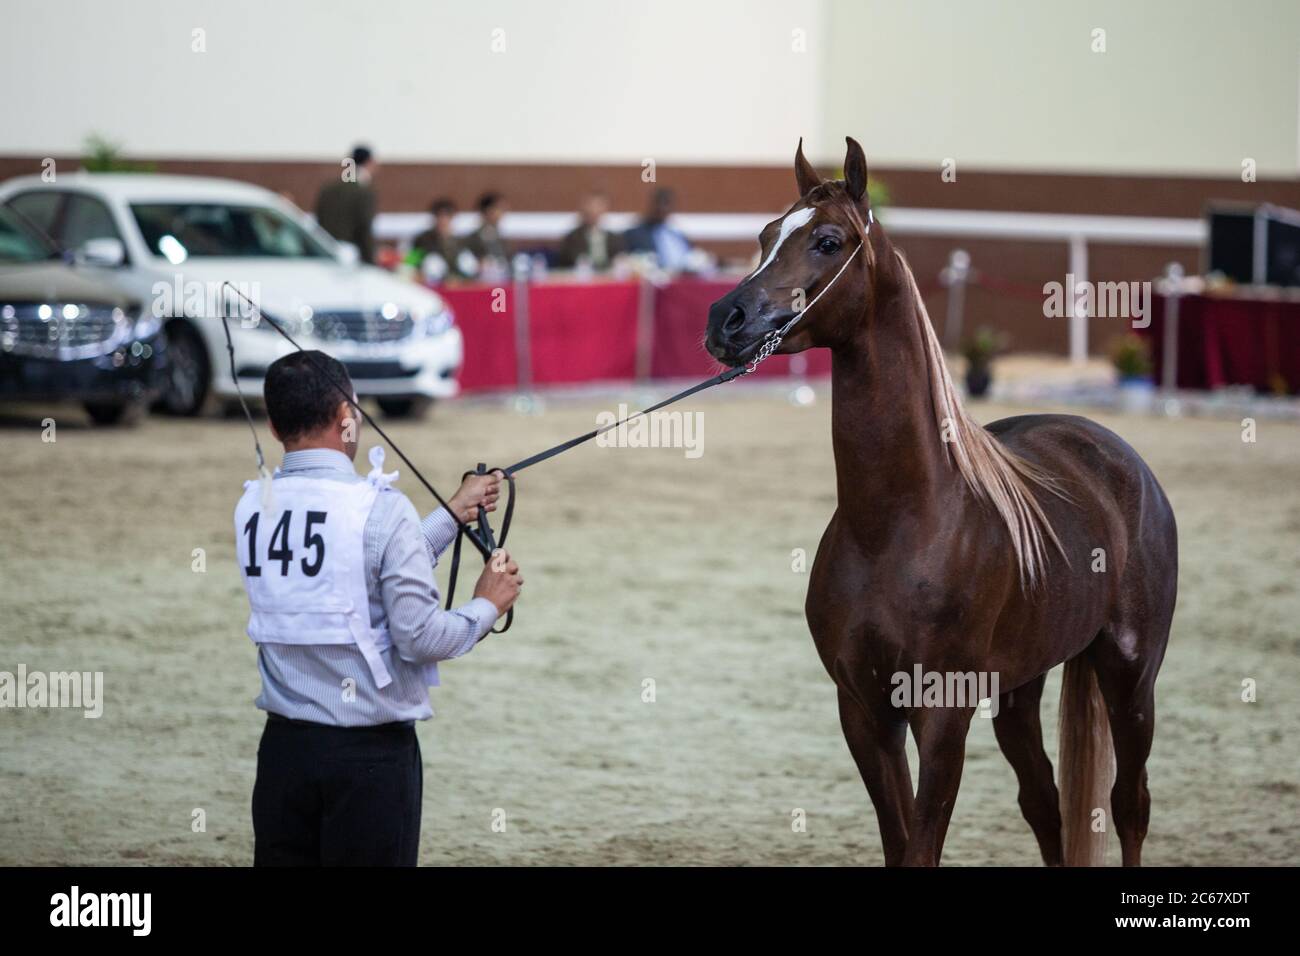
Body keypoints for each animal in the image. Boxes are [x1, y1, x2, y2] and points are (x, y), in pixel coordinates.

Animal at [704, 137, 1178, 866]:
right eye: (764, 236)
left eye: (827, 241)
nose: (725, 320)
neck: (899, 523)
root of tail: (1118, 456)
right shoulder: (864, 711)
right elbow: (900, 841)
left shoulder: (942, 714)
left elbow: (924, 844)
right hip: (1019, 691)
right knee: (1044, 801)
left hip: (1130, 676)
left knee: (1130, 805)